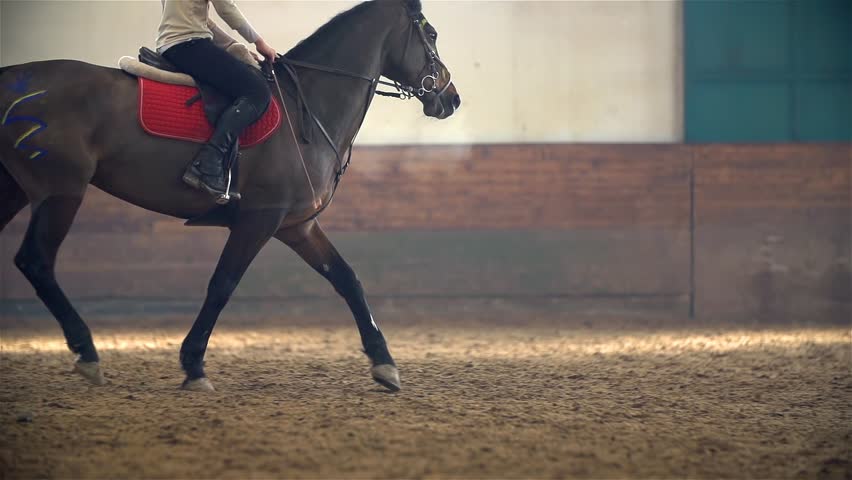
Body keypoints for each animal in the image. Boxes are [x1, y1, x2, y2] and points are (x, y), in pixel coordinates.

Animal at [0, 0, 460, 392]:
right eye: (432, 33)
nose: (451, 99)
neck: (307, 108)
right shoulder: (260, 219)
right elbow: (222, 284)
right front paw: (193, 366)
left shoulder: (296, 225)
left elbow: (348, 279)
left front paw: (385, 364)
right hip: (61, 191)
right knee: (36, 261)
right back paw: (88, 352)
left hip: (16, 189)